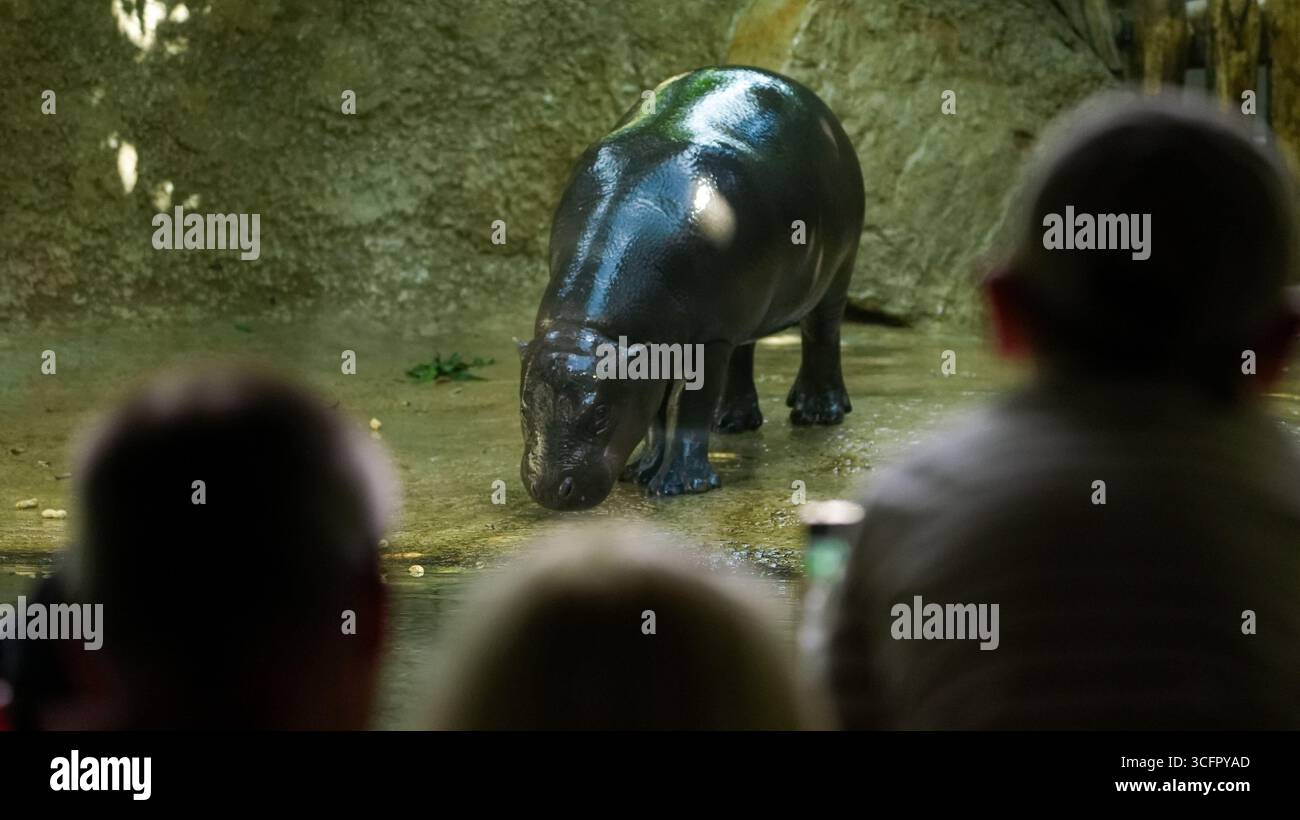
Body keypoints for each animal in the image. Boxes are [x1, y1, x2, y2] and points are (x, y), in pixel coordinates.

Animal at [520, 66, 865, 511]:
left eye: (600, 415)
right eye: (525, 404)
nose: (548, 489)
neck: (593, 329)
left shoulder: (707, 340)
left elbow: (688, 407)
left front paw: (679, 485)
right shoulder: (654, 350)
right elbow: (654, 413)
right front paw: (643, 471)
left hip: (837, 269)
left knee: (822, 334)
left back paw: (819, 413)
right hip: (746, 308)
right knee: (744, 351)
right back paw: (731, 422)